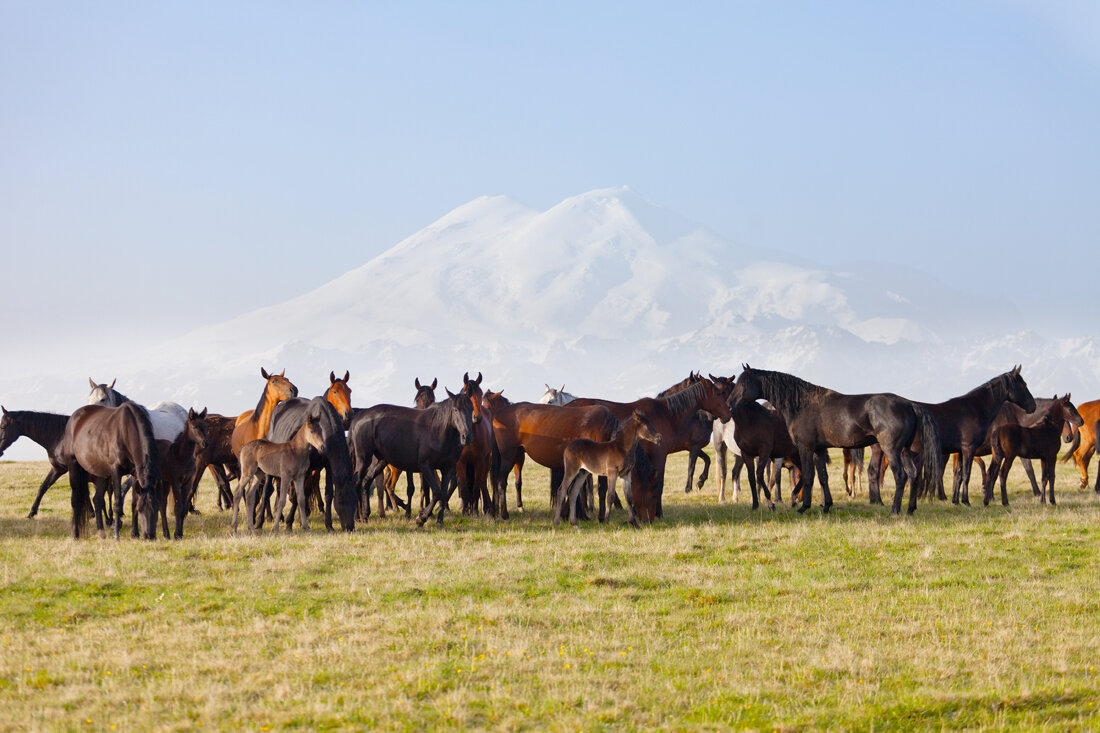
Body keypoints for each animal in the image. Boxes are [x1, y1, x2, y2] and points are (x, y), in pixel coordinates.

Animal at [59, 400, 159, 537]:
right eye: (141, 509)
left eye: (157, 509)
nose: (149, 536)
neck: (126, 431)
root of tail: (73, 418)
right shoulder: (116, 471)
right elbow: (117, 503)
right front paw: (116, 534)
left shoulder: (134, 473)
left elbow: (133, 502)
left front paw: (135, 533)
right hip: (74, 466)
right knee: (75, 500)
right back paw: (75, 534)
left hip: (100, 473)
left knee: (97, 499)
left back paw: (101, 531)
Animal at [266, 394, 356, 530]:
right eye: (341, 500)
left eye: (355, 500)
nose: (350, 527)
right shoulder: (306, 469)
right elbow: (298, 495)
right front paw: (289, 522)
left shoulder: (328, 467)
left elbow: (328, 494)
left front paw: (329, 525)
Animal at [349, 387, 475, 526]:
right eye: (455, 410)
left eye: (471, 409)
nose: (467, 437)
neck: (438, 431)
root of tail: (360, 417)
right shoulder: (425, 466)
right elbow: (436, 493)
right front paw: (421, 518)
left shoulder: (448, 469)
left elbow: (442, 493)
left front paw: (439, 522)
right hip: (363, 459)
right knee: (356, 483)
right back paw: (356, 518)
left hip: (380, 461)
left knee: (366, 481)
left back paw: (365, 515)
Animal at [726, 365, 941, 512]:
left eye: (744, 384)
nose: (729, 403)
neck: (802, 404)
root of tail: (910, 404)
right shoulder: (819, 449)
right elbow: (823, 477)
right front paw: (826, 506)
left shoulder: (806, 448)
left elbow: (808, 476)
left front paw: (803, 507)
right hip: (904, 451)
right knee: (913, 475)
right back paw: (910, 509)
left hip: (891, 449)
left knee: (901, 476)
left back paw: (894, 510)